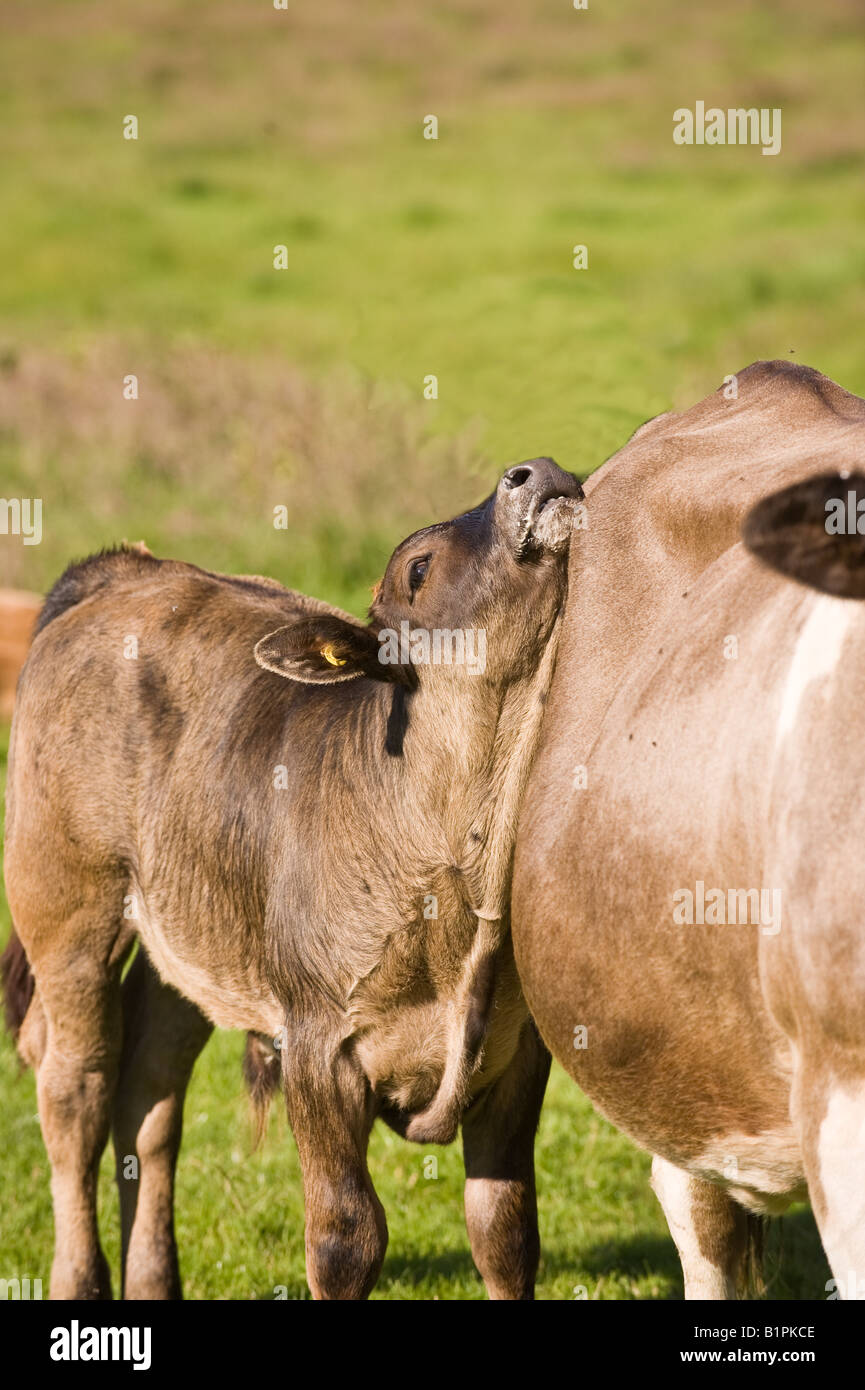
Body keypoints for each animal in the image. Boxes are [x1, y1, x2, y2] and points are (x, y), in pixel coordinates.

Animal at [1, 457, 583, 1301]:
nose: (536, 471)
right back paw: (80, 1281)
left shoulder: (515, 1052)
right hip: (68, 909)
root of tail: (127, 569)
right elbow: (345, 1238)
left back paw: (153, 1281)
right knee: (76, 1088)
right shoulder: (318, 1047)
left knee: (150, 1088)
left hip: (188, 938)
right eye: (418, 567)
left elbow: (504, 1230)